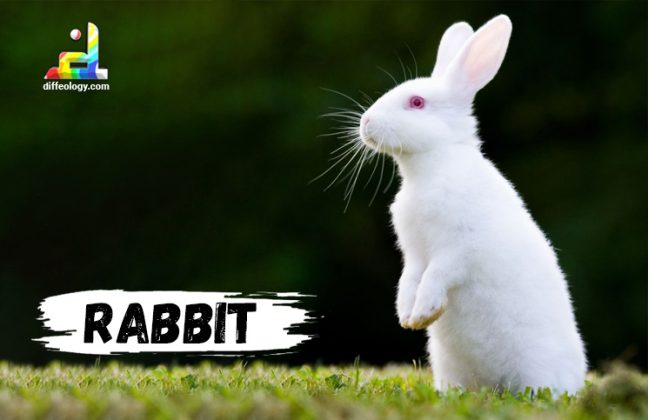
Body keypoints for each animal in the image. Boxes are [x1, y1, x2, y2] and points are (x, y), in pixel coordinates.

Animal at [356, 15, 586, 395]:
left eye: (416, 102)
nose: (365, 123)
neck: (430, 169)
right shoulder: (414, 254)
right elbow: (409, 279)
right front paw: (407, 316)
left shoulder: (459, 248)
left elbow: (436, 275)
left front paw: (423, 312)